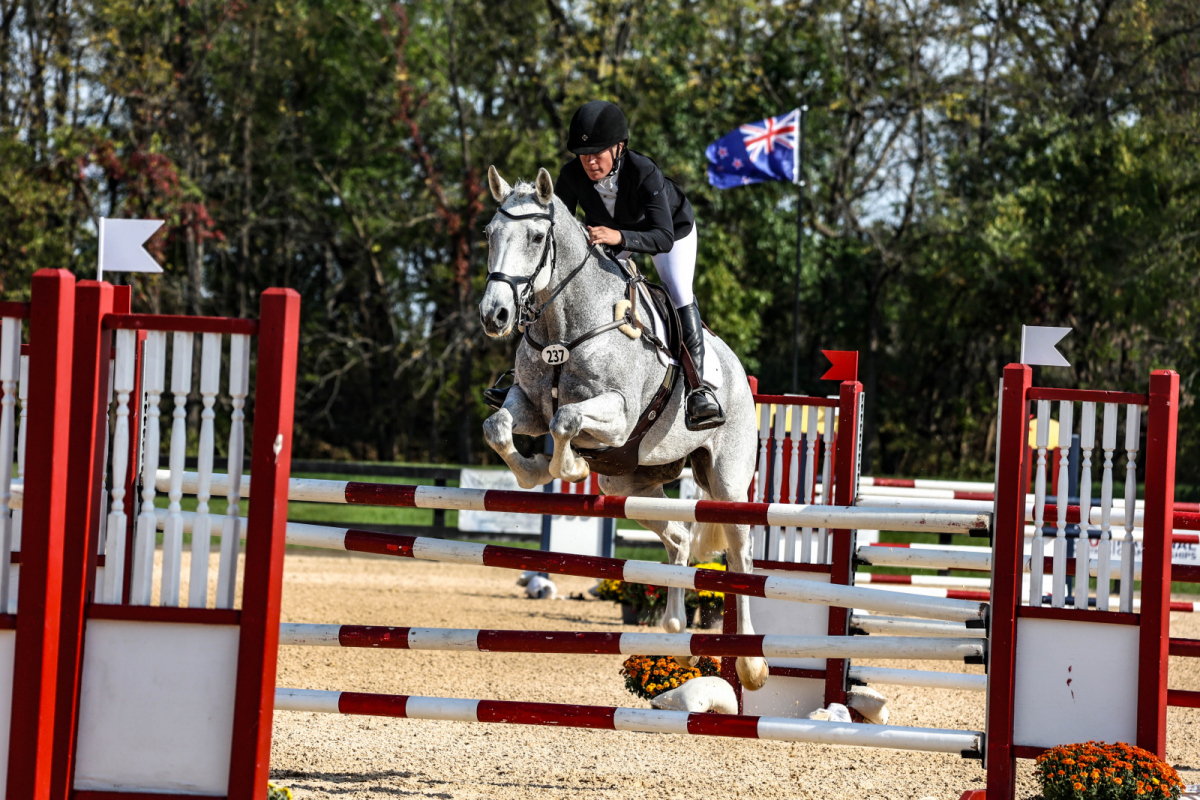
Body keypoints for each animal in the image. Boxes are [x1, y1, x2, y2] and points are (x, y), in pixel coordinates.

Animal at [477, 166, 767, 691]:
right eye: (489, 234)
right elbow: (500, 426)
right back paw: (675, 629)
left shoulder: (617, 415)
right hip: (629, 482)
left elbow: (567, 419)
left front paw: (567, 467)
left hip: (728, 481)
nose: (496, 316)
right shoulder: (526, 404)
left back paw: (750, 664)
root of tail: (738, 372)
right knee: (678, 536)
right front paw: (535, 469)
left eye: (536, 237)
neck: (564, 326)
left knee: (740, 554)